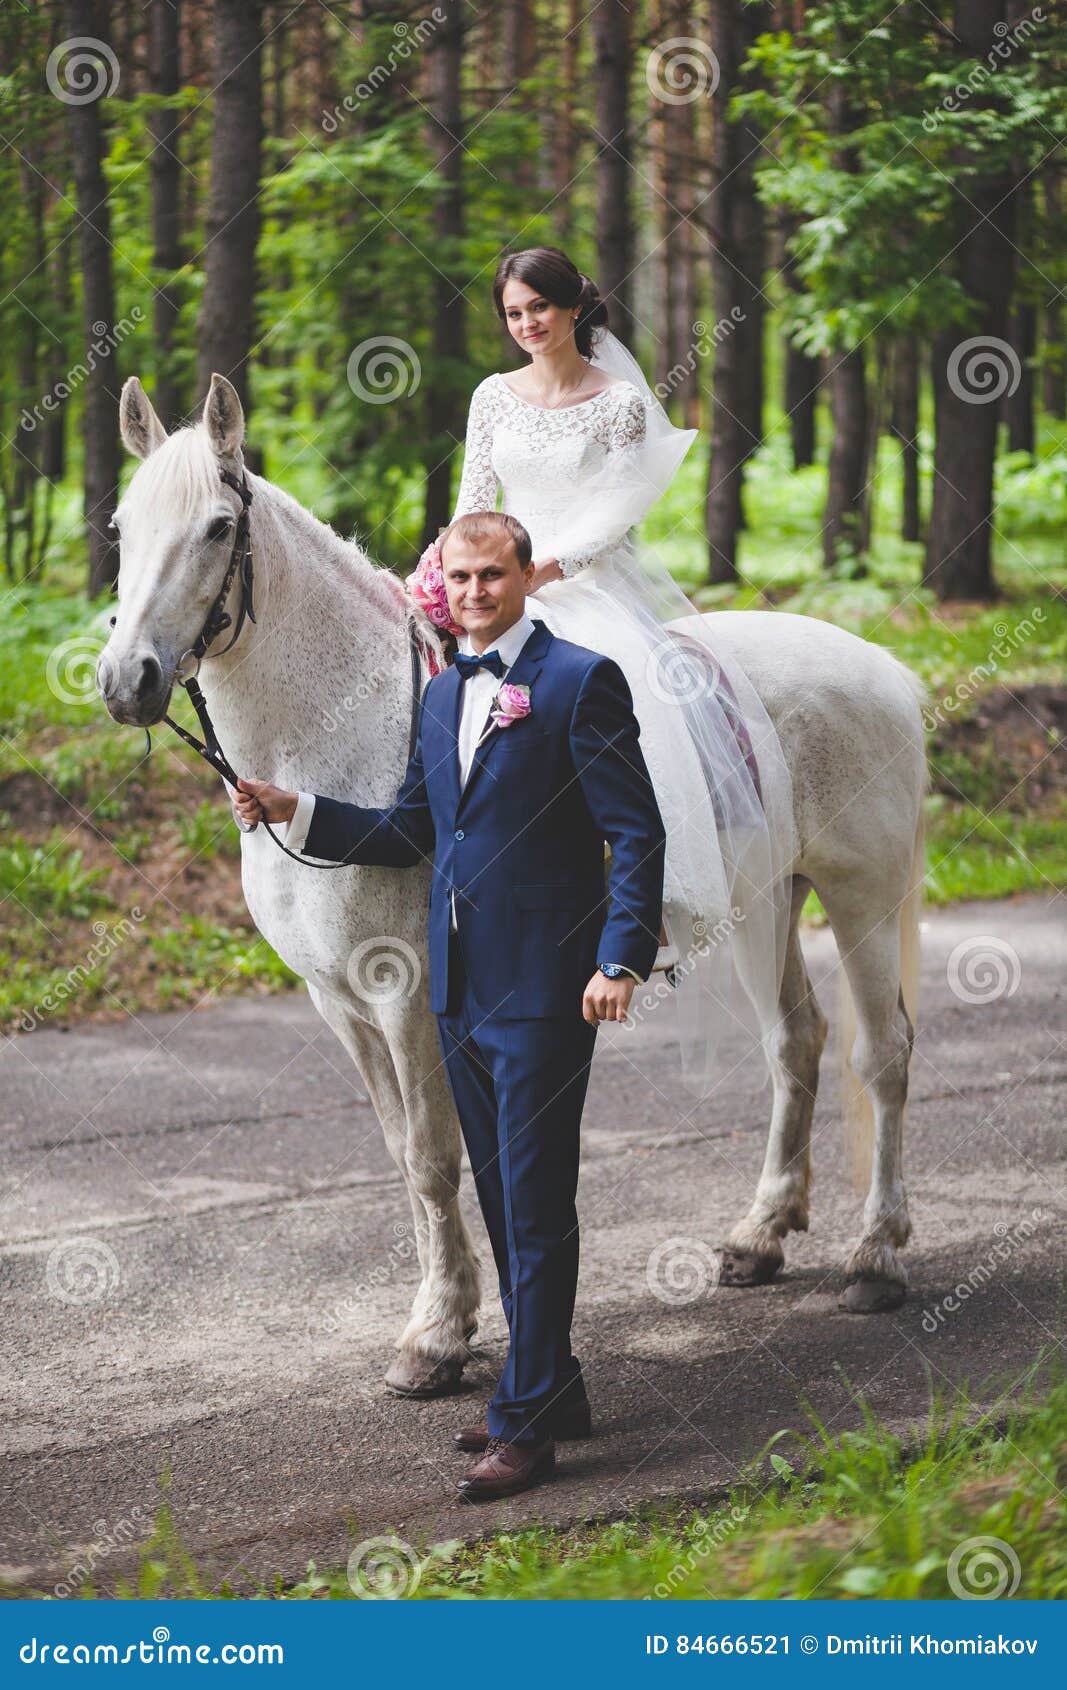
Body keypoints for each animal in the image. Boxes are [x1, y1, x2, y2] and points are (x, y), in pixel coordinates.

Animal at [98, 372, 928, 1399]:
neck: (342, 735)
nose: (125, 681)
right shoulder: (338, 1003)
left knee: (880, 1056)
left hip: (863, 900)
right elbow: (401, 1156)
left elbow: (430, 1157)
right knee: (794, 1042)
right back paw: (759, 1236)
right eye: (121, 528)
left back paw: (876, 1258)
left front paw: (436, 1338)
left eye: (217, 528)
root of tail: (882, 667)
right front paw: (443, 1316)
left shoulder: (405, 996)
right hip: (762, 905)